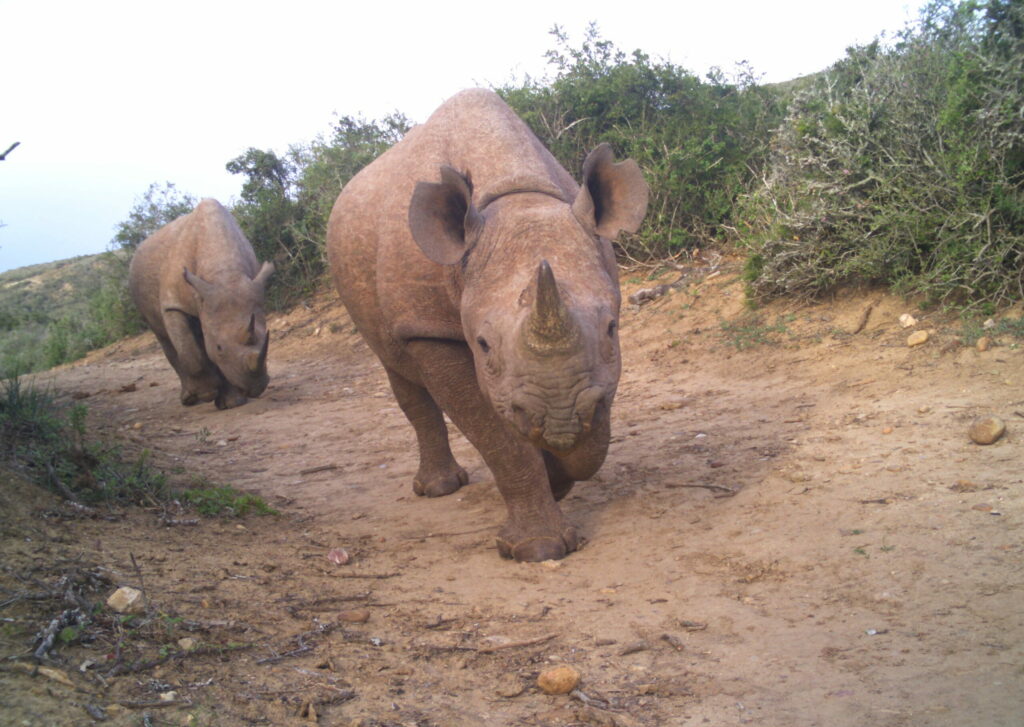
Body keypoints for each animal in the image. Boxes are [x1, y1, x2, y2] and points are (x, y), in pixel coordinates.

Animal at [129, 199, 274, 410]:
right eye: (219, 347)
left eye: (267, 340)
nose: (256, 388)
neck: (225, 274)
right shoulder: (173, 304)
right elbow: (189, 351)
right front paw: (207, 393)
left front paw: (232, 402)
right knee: (165, 338)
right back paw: (190, 398)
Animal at [327, 89, 648, 561]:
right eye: (482, 344)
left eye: (611, 329)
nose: (560, 415)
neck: (516, 197)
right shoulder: (428, 329)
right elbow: (497, 437)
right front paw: (539, 548)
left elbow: (590, 433)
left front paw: (557, 475)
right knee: (397, 370)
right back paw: (440, 489)